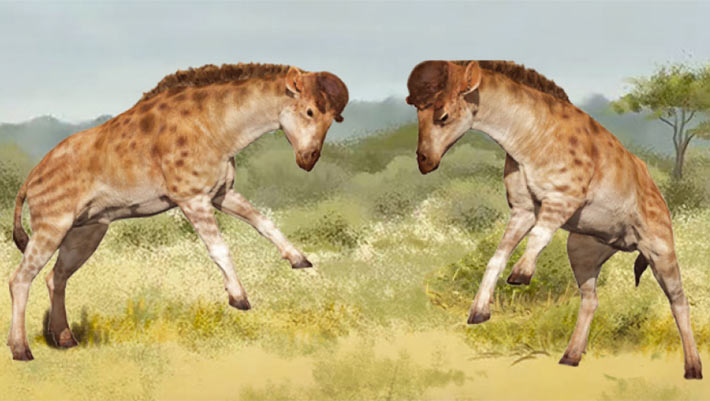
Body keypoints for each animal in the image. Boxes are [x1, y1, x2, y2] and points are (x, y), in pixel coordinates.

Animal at [9, 63, 349, 361]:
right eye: (310, 111)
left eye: (334, 118)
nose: (308, 159)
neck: (216, 126)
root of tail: (30, 179)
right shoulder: (192, 199)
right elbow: (219, 248)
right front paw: (239, 298)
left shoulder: (221, 194)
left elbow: (264, 222)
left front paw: (299, 259)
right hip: (52, 226)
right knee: (20, 279)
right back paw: (21, 350)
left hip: (86, 233)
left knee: (55, 278)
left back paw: (65, 339)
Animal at [406, 60, 702, 379]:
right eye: (417, 112)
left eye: (443, 115)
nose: (424, 161)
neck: (529, 138)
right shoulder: (523, 209)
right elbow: (497, 257)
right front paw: (478, 312)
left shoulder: (563, 199)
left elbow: (539, 236)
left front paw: (520, 275)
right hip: (582, 252)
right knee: (590, 298)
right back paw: (570, 357)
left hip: (660, 250)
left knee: (679, 301)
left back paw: (693, 368)